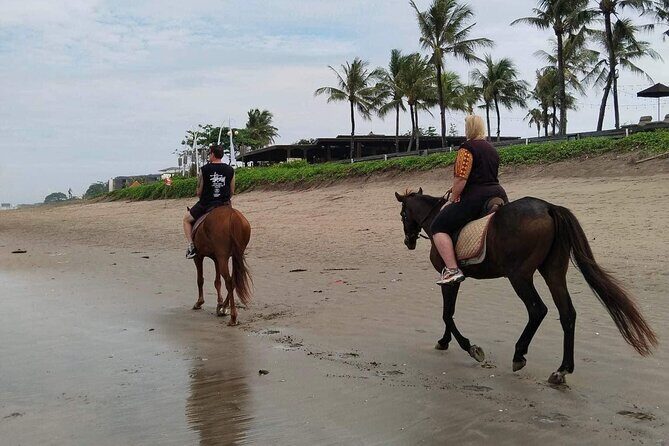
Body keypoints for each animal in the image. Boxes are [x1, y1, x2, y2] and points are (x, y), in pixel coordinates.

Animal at [395, 188, 657, 384]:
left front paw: (470, 347)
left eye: (403, 215)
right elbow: (448, 313)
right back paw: (562, 370)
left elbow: (447, 314)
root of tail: (548, 207)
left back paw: (519, 354)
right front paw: (444, 341)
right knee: (567, 313)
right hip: (553, 272)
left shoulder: (450, 279)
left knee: (537, 310)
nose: (408, 241)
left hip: (519, 276)